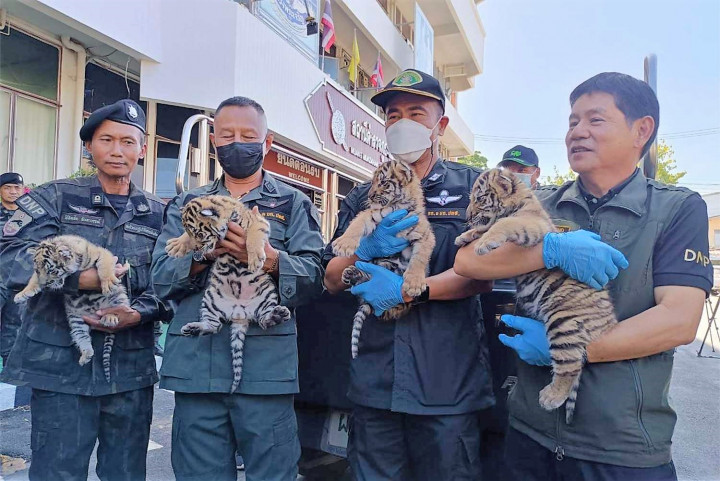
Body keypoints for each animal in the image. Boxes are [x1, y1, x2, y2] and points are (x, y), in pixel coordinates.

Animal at [14, 235, 130, 382]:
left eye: (51, 270)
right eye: (38, 270)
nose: (44, 285)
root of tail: (94, 314)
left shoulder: (101, 253)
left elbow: (105, 266)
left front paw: (108, 282)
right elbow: (33, 279)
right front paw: (21, 294)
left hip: (119, 295)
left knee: (118, 309)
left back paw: (109, 318)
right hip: (76, 321)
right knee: (82, 336)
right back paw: (85, 355)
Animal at [165, 195, 291, 393]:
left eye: (199, 234)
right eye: (192, 233)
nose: (197, 253)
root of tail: (240, 315)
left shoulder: (257, 221)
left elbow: (253, 236)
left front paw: (255, 258)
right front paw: (177, 244)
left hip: (268, 293)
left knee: (264, 320)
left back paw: (278, 314)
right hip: (210, 300)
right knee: (214, 326)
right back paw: (193, 328)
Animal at [331, 159, 436, 359]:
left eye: (384, 183)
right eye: (371, 183)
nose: (370, 196)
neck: (397, 205)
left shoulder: (424, 235)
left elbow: (419, 259)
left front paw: (414, 283)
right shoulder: (372, 215)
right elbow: (356, 224)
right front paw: (344, 244)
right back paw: (351, 274)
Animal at [455, 168, 617, 424]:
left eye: (479, 199)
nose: (468, 216)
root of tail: (610, 322)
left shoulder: (531, 225)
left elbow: (503, 224)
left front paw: (483, 242)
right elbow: (485, 227)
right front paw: (466, 236)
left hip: (563, 322)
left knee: (570, 364)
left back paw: (552, 397)